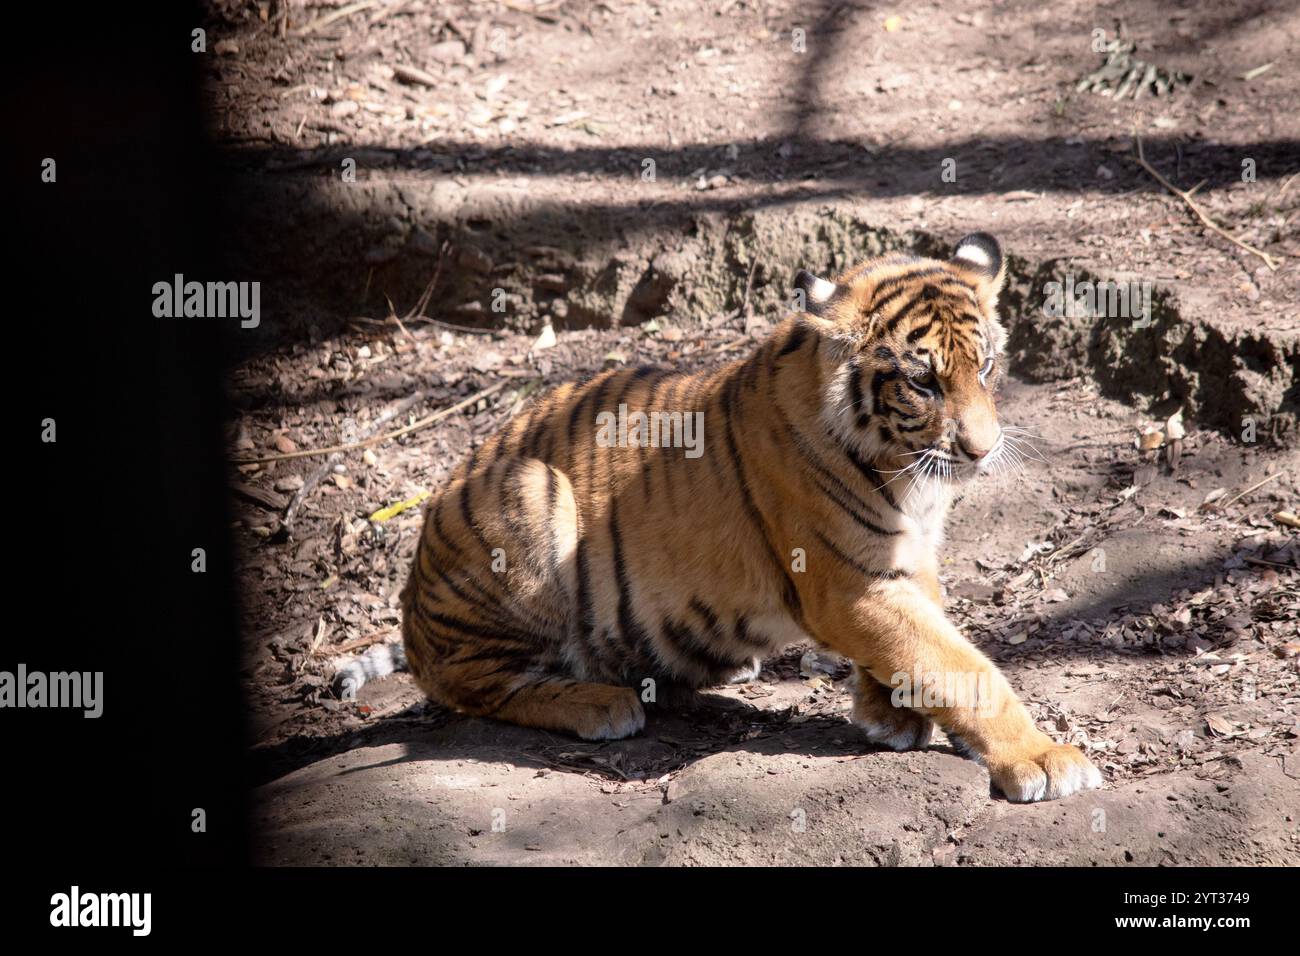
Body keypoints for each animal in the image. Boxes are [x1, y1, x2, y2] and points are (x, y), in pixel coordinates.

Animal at [397, 232, 1103, 803]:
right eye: (922, 382)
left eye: (985, 366)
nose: (983, 451)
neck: (905, 471)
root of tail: (409, 606)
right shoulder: (847, 586)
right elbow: (959, 666)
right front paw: (1043, 758)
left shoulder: (908, 558)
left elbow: (925, 641)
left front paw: (888, 712)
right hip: (530, 489)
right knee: (472, 684)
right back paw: (600, 703)